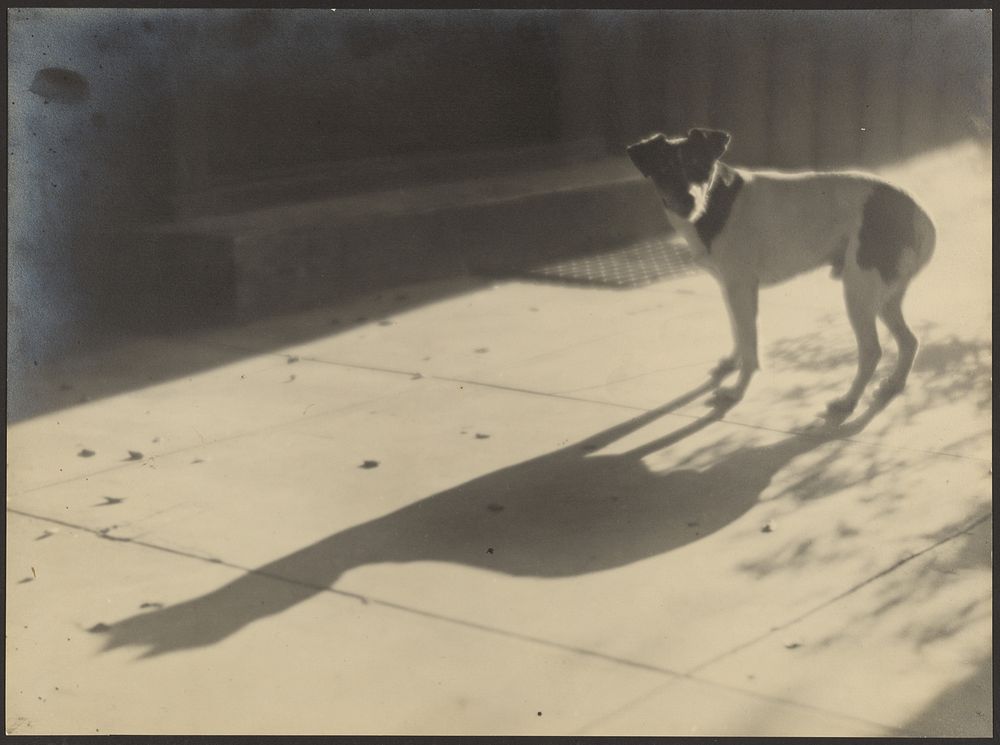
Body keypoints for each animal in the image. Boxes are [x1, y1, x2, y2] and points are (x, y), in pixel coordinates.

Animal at [624, 130, 936, 416]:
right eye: (664, 169)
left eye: (700, 165)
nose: (687, 201)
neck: (715, 202)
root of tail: (919, 213)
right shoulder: (731, 288)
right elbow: (738, 332)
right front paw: (731, 363)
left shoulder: (741, 287)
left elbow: (750, 348)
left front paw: (737, 390)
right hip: (884, 297)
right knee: (909, 341)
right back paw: (893, 384)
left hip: (859, 293)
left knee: (872, 350)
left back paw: (847, 401)